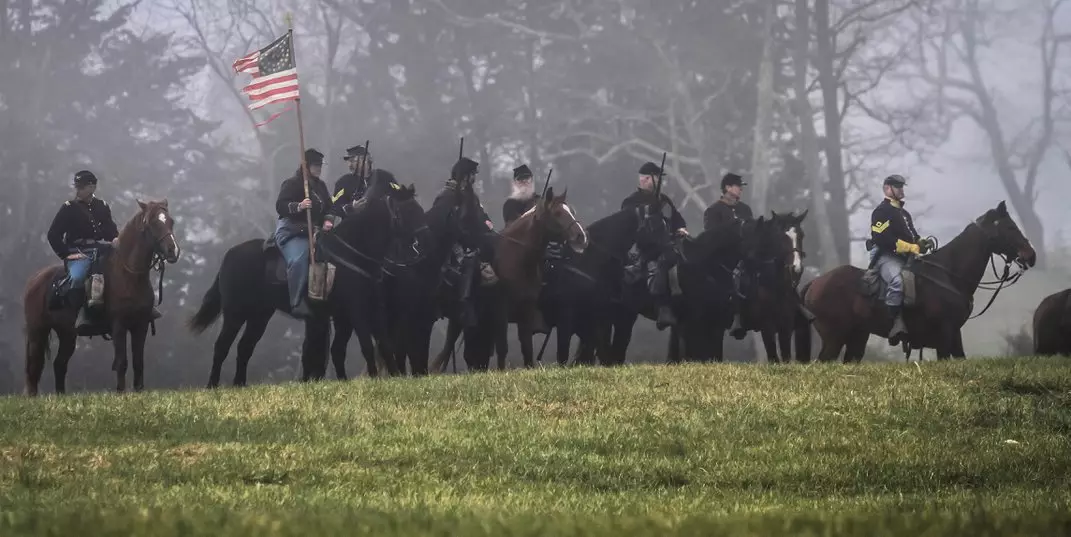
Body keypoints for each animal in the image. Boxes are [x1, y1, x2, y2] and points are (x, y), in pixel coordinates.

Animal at [24, 199, 179, 396]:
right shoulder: (119, 325)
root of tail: (34, 280)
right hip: (37, 332)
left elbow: (138, 362)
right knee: (34, 367)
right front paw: (121, 392)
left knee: (59, 364)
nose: (173, 251)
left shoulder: (141, 325)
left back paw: (60, 395)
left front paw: (139, 391)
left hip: (67, 333)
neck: (129, 275)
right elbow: (121, 362)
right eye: (153, 223)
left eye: (170, 222)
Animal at [188, 173, 421, 388]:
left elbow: (375, 345)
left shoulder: (362, 312)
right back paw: (212, 385)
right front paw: (373, 379)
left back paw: (239, 384)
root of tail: (230, 255)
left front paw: (388, 377)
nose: (420, 239)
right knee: (222, 346)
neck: (353, 251)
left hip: (260, 314)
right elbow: (365, 345)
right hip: (235, 312)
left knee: (245, 346)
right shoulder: (356, 310)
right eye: (407, 208)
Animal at [805, 199, 1036, 362]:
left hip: (857, 337)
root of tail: (814, 284)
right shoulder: (944, 335)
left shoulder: (955, 334)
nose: (1031, 256)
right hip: (834, 338)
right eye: (1009, 227)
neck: (949, 275)